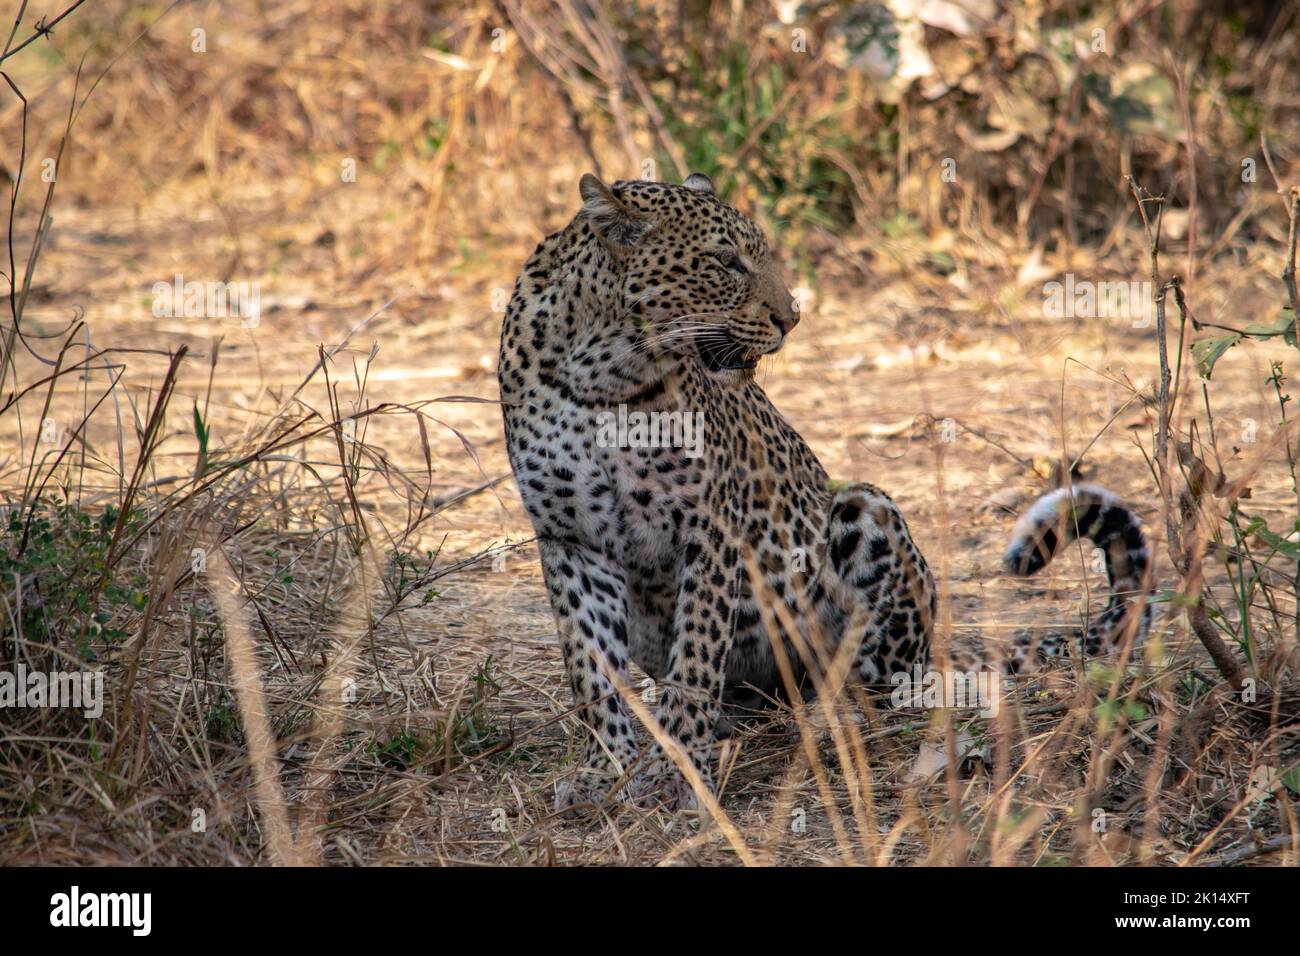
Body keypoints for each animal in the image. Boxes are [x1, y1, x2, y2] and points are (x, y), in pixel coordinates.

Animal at [497, 172, 1156, 813]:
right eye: (726, 261)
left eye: (758, 256)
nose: (791, 318)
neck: (604, 372)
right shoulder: (570, 539)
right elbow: (591, 668)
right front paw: (606, 770)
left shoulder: (710, 529)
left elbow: (695, 661)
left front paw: (676, 772)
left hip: (864, 511)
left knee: (887, 684)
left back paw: (830, 714)